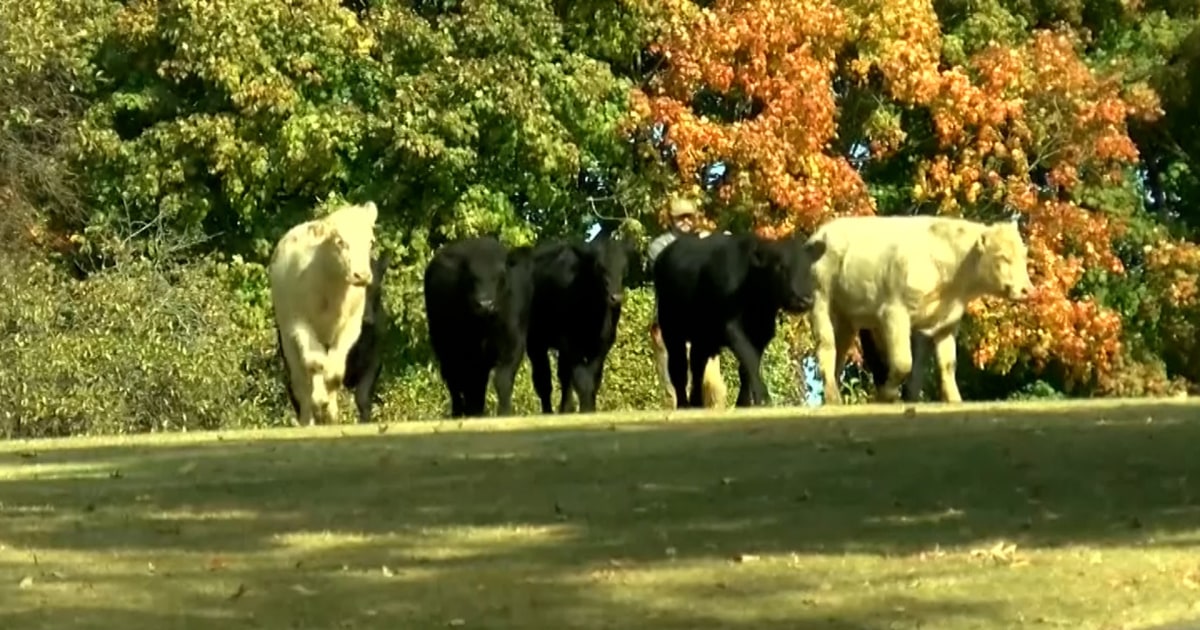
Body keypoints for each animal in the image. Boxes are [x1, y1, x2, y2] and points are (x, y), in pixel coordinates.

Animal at [269, 200, 379, 425]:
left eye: (370, 241)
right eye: (340, 241)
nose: (361, 275)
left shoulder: (351, 327)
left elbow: (335, 372)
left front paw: (330, 409)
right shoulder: (299, 324)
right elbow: (315, 363)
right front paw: (320, 401)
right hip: (287, 339)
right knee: (302, 384)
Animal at [423, 236, 534, 418]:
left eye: (500, 274)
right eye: (471, 277)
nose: (485, 304)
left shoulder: (514, 342)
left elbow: (502, 379)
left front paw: (504, 412)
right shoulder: (465, 351)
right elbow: (468, 385)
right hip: (442, 344)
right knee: (454, 381)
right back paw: (459, 412)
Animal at [525, 233, 638, 414]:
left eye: (624, 267)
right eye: (599, 267)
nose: (616, 298)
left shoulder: (602, 345)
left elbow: (593, 380)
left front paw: (590, 408)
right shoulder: (571, 344)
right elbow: (582, 380)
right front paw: (585, 409)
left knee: (564, 376)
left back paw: (566, 408)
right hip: (535, 342)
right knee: (543, 381)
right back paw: (549, 411)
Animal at [653, 231, 828, 408]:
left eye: (809, 267)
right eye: (779, 267)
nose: (805, 299)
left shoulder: (762, 332)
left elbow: (746, 368)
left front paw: (743, 403)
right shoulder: (730, 326)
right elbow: (749, 359)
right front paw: (763, 398)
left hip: (702, 337)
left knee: (697, 365)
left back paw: (697, 403)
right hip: (670, 327)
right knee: (678, 367)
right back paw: (684, 405)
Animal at [804, 215, 1034, 405]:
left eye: (1024, 255)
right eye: (1002, 257)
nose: (1027, 289)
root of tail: (821, 233)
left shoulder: (946, 324)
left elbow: (945, 366)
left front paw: (953, 400)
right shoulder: (894, 313)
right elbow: (903, 362)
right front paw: (886, 397)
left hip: (847, 320)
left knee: (839, 353)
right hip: (820, 301)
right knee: (826, 348)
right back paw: (833, 398)